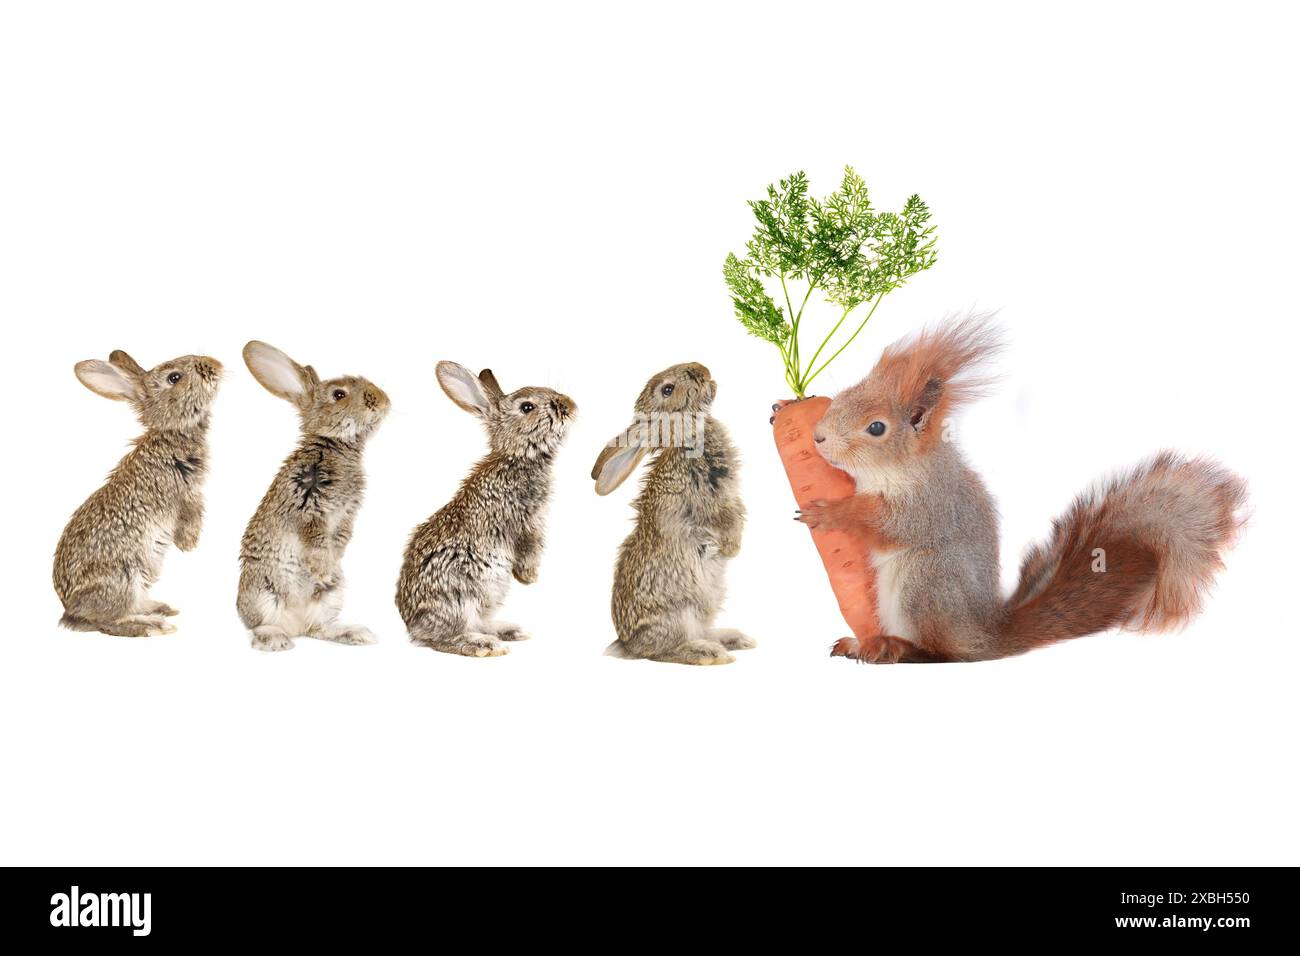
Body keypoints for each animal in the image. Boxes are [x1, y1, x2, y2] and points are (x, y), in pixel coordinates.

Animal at [53, 350, 224, 637]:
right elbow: (191, 513)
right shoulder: (182, 494)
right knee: (107, 622)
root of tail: (70, 608)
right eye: (174, 377)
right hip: (125, 577)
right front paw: (189, 544)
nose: (216, 365)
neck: (170, 434)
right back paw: (152, 626)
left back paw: (159, 608)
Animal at [237, 341, 390, 652]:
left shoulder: (346, 515)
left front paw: (330, 566)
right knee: (261, 625)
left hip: (331, 597)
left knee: (318, 628)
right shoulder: (308, 507)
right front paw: (322, 568)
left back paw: (355, 633)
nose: (383, 401)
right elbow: (317, 541)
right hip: (262, 591)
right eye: (339, 394)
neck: (334, 445)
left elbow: (340, 539)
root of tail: (294, 626)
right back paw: (275, 639)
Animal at [396, 362, 575, 657]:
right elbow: (530, 548)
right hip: (460, 597)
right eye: (527, 407)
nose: (570, 405)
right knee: (442, 638)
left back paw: (510, 631)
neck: (516, 458)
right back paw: (484, 645)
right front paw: (529, 577)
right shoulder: (522, 521)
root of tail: (412, 624)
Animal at [592, 362, 752, 665]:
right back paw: (709, 653)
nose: (703, 369)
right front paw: (732, 549)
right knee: (662, 652)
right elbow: (723, 522)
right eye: (667, 389)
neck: (688, 437)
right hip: (679, 615)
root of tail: (628, 644)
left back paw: (736, 639)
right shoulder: (709, 503)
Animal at [792, 315, 1248, 663]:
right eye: (844, 394)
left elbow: (894, 524)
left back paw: (897, 650)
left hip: (926, 583)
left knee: (943, 654)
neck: (893, 469)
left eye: (876, 428)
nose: (818, 437)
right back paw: (861, 643)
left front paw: (831, 512)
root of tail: (985, 635)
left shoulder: (933, 503)